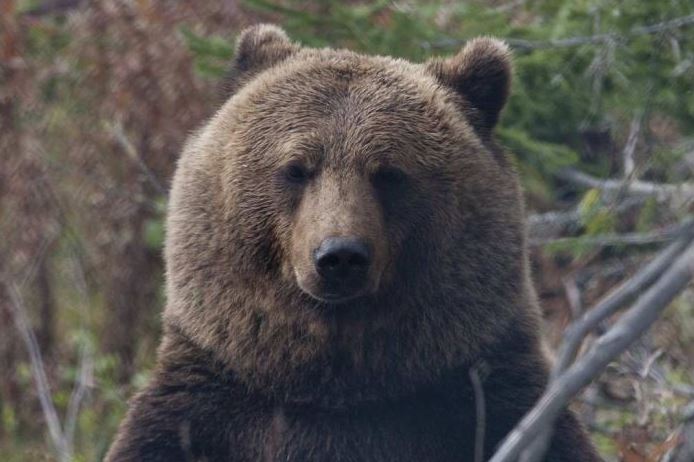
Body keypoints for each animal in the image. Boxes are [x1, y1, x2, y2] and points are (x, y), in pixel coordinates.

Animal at [106, 24, 601, 462]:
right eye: (296, 167)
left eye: (389, 173)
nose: (340, 256)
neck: (339, 389)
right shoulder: (203, 413)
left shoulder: (491, 408)